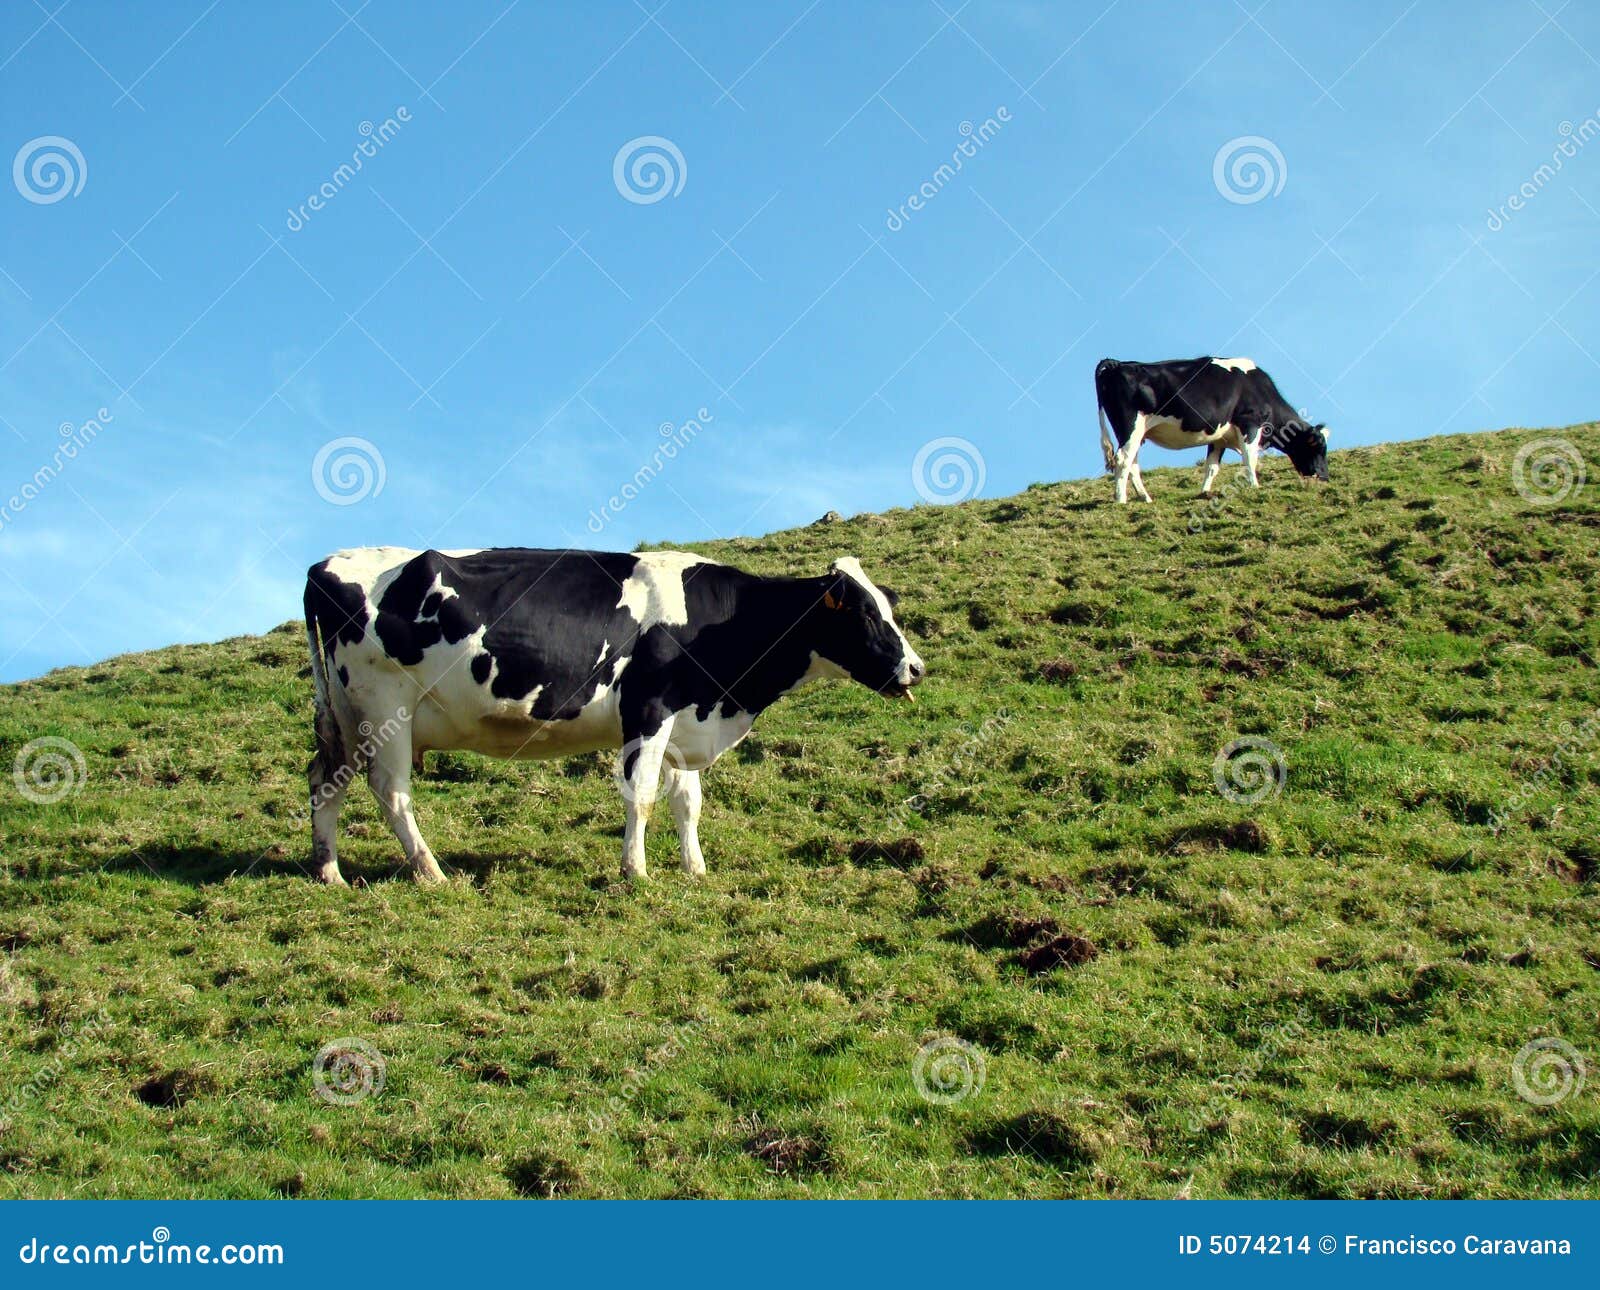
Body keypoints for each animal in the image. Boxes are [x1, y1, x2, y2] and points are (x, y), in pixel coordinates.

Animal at [302, 547, 925, 883]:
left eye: (890, 608)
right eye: (865, 615)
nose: (916, 669)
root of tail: (324, 566)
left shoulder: (684, 722)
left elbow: (687, 802)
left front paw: (695, 869)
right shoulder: (647, 710)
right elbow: (642, 795)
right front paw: (636, 870)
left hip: (345, 716)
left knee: (324, 779)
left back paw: (329, 870)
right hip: (387, 708)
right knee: (392, 791)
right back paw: (430, 871)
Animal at [1095, 357, 1329, 503]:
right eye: (1318, 448)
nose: (1325, 478)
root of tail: (1117, 364)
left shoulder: (1219, 438)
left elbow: (1212, 467)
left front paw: (1205, 492)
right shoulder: (1250, 423)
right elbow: (1250, 459)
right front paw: (1255, 486)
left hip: (1136, 432)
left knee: (1132, 463)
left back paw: (1145, 498)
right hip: (1130, 426)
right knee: (1123, 460)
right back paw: (1121, 500)